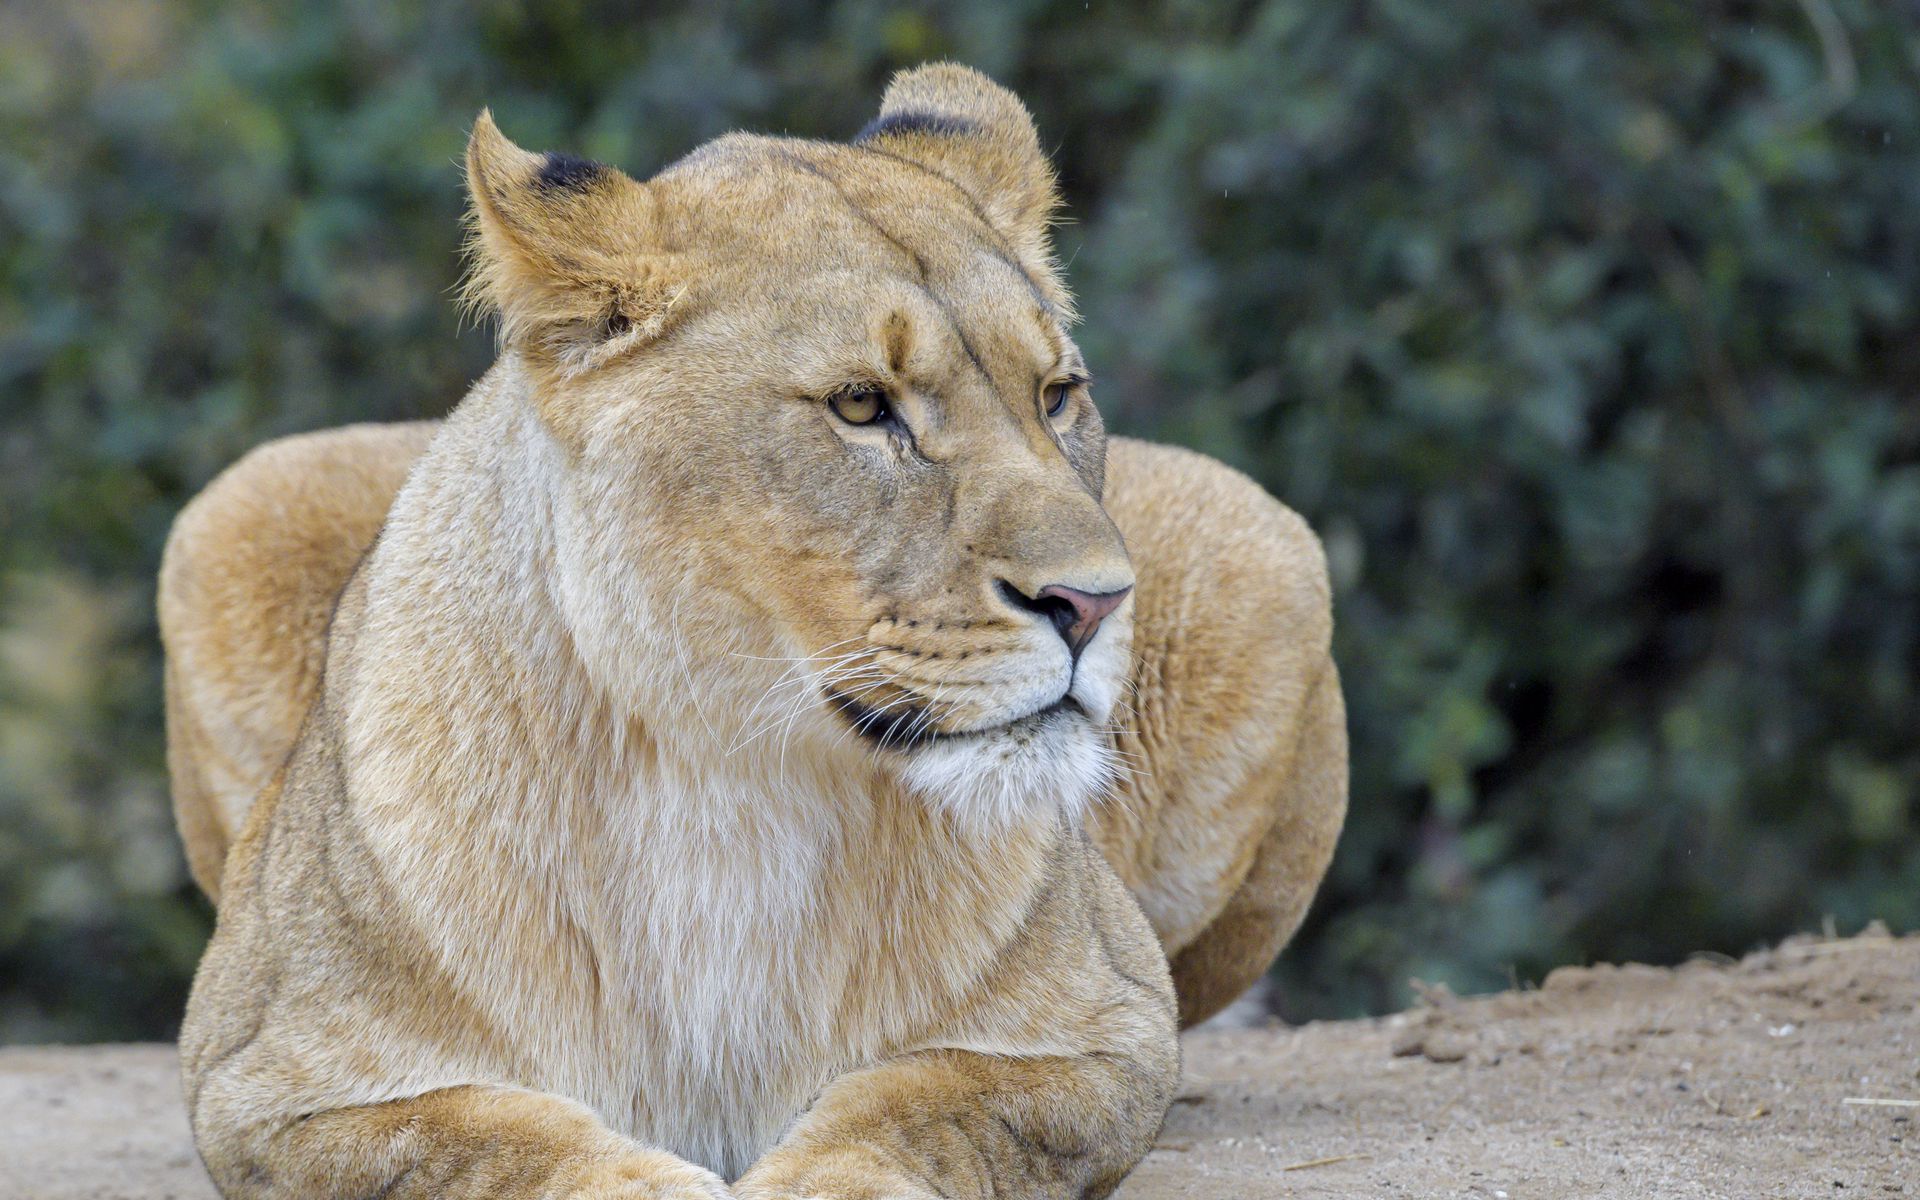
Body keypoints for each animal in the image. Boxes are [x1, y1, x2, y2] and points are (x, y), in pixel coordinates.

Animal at [166, 65, 1345, 1200]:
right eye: (862, 406)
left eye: (1056, 395)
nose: (1095, 604)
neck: (732, 770)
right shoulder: (262, 1082)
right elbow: (477, 1137)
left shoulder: (1111, 1031)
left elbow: (925, 1102)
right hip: (238, 508)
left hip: (1270, 548)